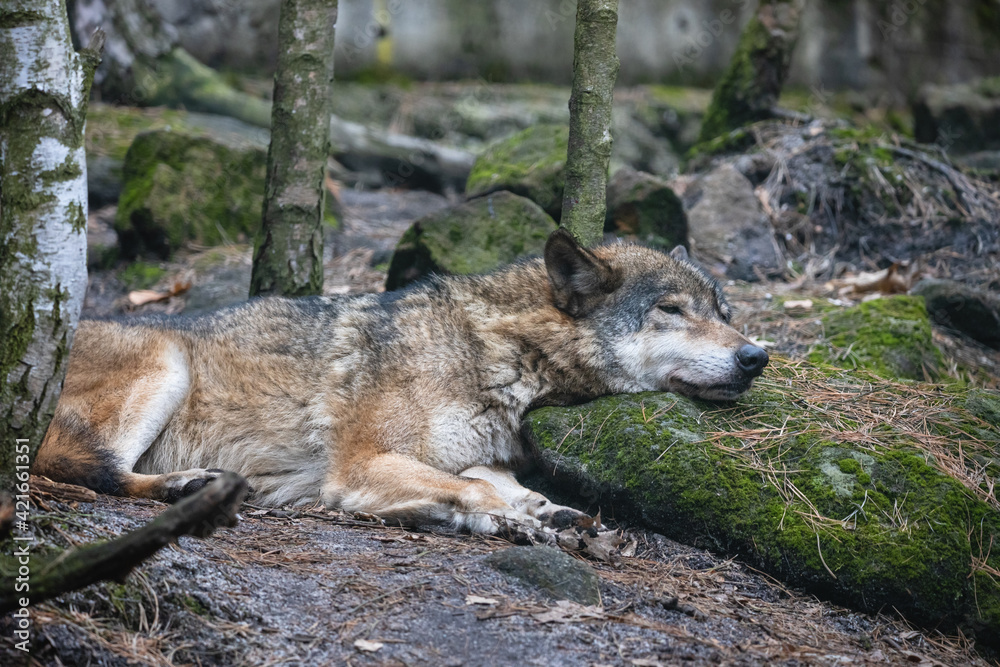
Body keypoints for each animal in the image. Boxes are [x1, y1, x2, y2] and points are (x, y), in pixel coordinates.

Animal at [34, 229, 768, 534]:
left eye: (724, 313)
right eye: (672, 311)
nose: (757, 356)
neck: (490, 352)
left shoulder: (470, 454)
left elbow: (502, 484)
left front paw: (543, 512)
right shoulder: (362, 463)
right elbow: (476, 489)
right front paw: (509, 519)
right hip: (167, 363)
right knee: (82, 466)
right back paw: (183, 485)